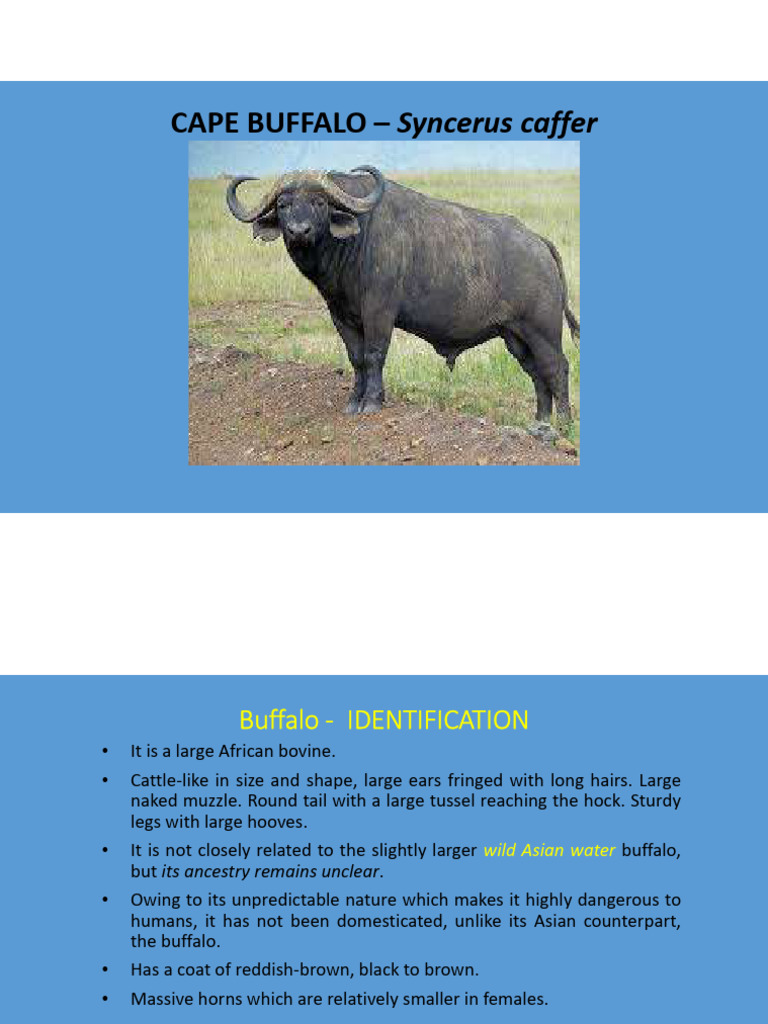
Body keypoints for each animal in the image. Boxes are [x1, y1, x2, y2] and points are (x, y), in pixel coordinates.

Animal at [226, 166, 579, 427]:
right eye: (283, 205)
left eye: (319, 203)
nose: (299, 231)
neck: (355, 241)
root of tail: (539, 242)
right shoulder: (340, 314)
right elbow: (355, 358)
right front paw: (353, 402)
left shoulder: (379, 312)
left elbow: (374, 355)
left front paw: (372, 402)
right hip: (515, 336)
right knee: (537, 375)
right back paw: (540, 423)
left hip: (542, 331)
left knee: (556, 368)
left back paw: (561, 426)